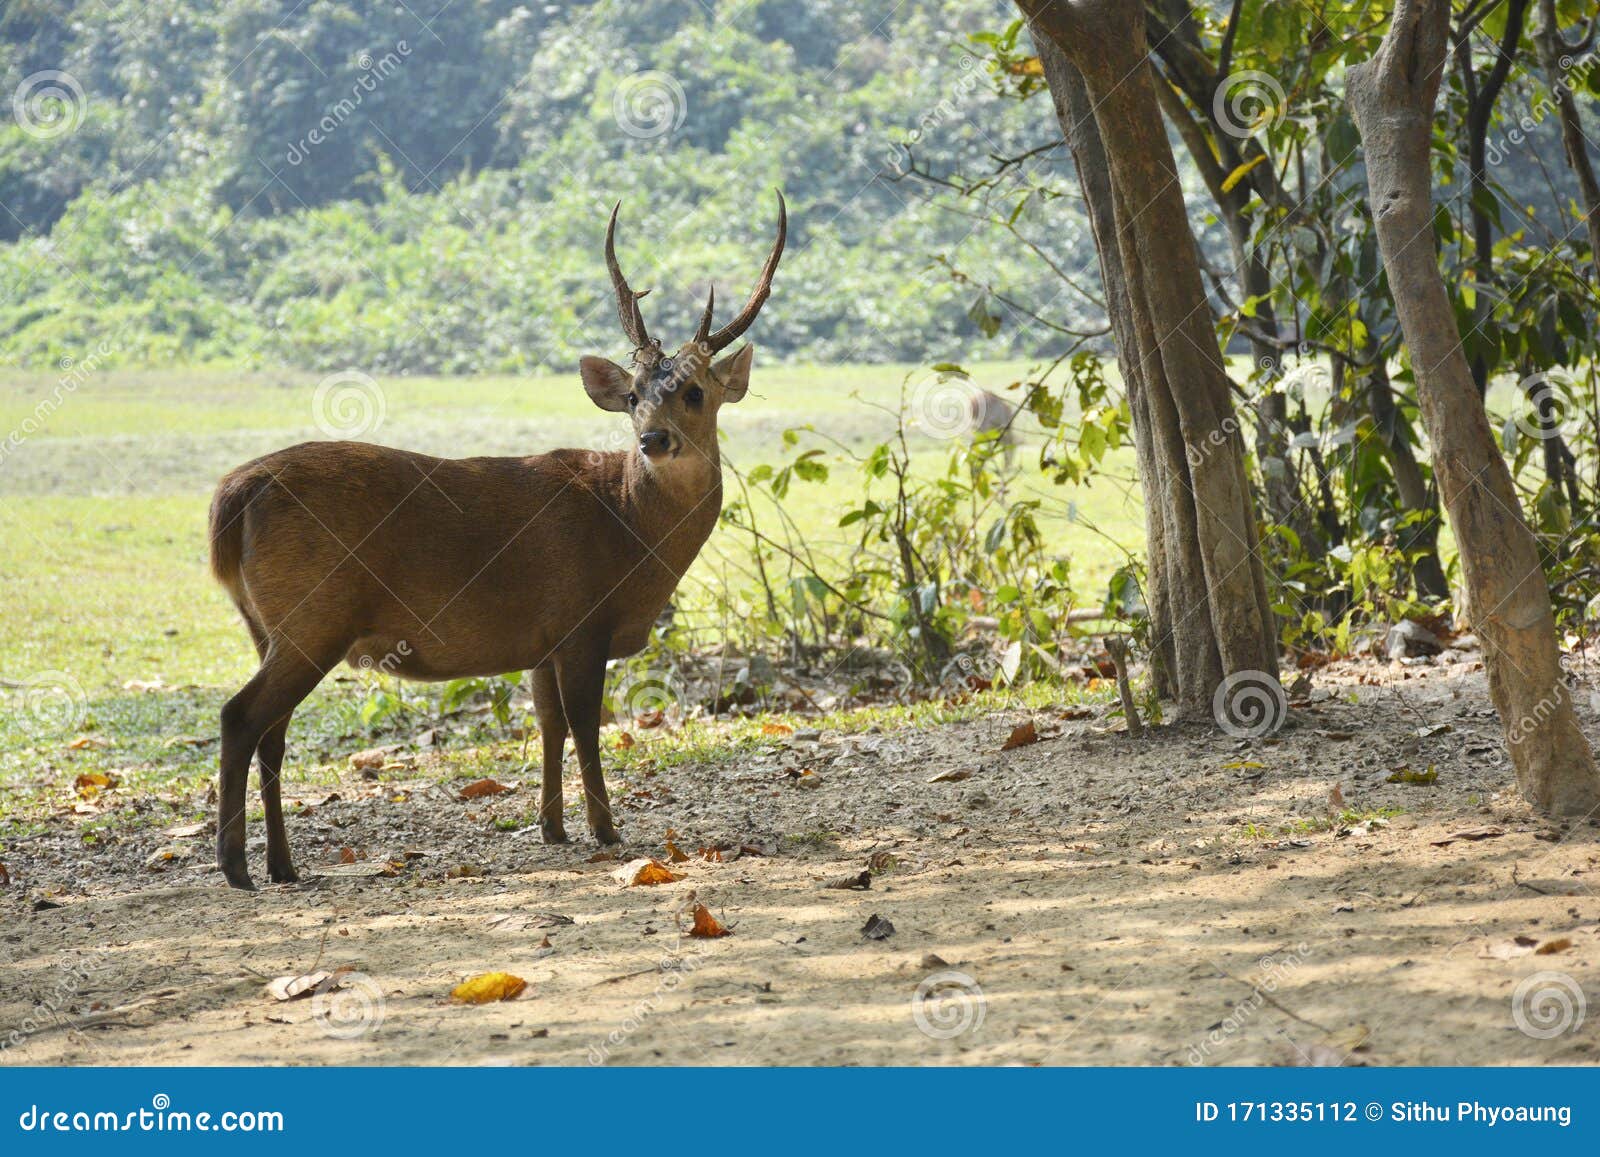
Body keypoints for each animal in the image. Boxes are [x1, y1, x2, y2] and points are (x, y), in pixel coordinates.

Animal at [206, 194, 786, 890]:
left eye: (695, 391)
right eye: (633, 396)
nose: (654, 440)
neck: (627, 528)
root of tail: (233, 497)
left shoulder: (541, 639)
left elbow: (550, 724)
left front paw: (552, 827)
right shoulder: (580, 619)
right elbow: (587, 723)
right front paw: (605, 828)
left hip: (266, 623)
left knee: (272, 730)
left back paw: (283, 865)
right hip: (313, 614)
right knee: (241, 716)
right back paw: (235, 866)